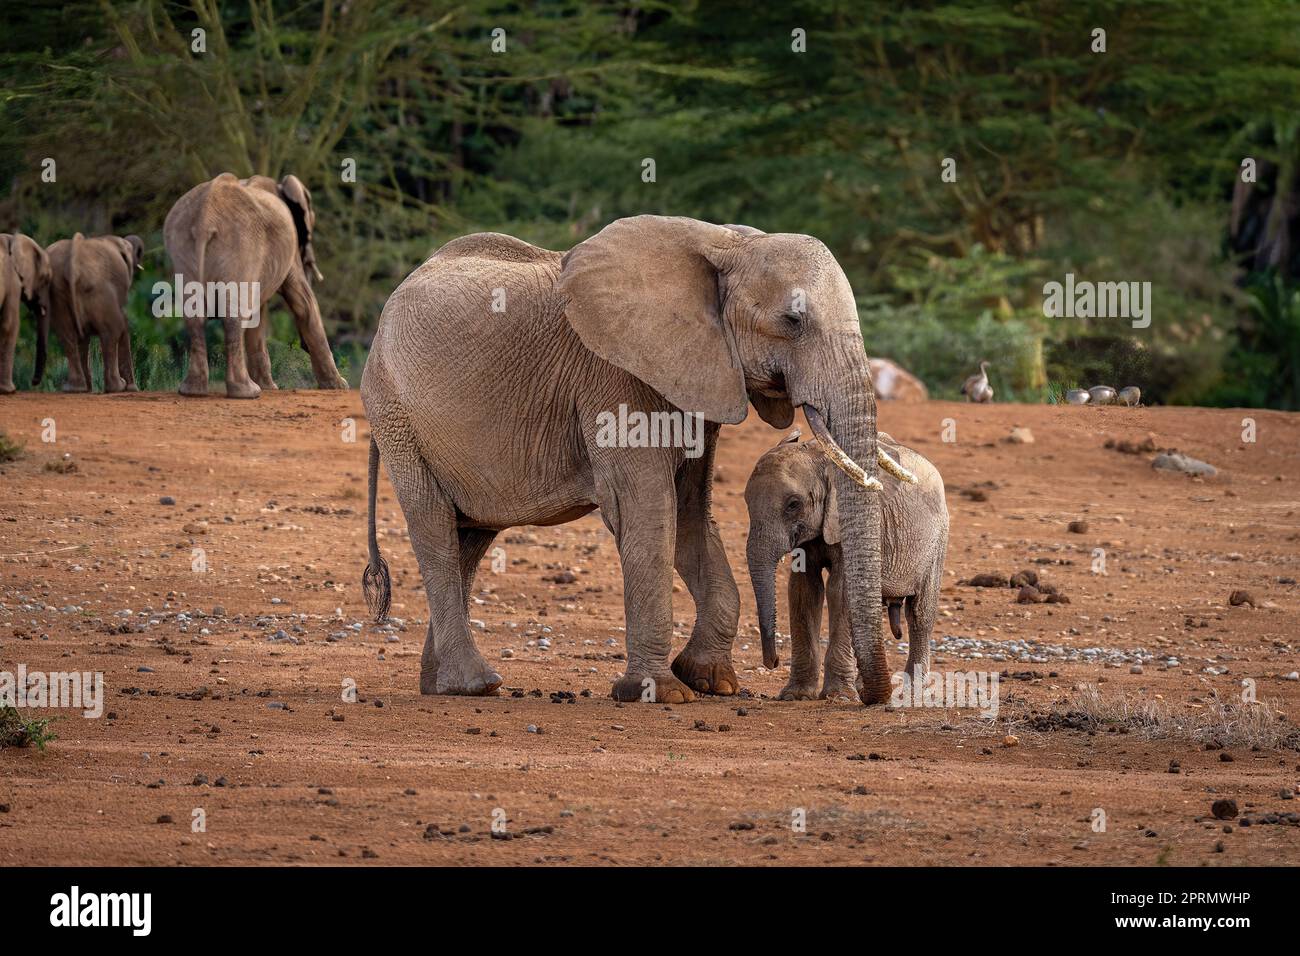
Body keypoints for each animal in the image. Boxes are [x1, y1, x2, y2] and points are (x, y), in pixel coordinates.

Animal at [0, 233, 52, 393]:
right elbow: (9, 325)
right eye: (46, 278)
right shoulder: (11, 280)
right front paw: (9, 391)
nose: (33, 382)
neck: (11, 239)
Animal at [43, 233, 144, 393]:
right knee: (112, 331)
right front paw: (132, 389)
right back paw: (116, 387)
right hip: (99, 291)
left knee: (67, 335)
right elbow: (123, 325)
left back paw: (76, 389)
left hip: (57, 293)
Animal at [163, 172, 348, 398]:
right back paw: (248, 392)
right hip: (240, 245)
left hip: (182, 247)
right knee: (234, 316)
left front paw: (270, 387)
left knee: (194, 314)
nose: (302, 346)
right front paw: (339, 386)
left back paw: (193, 391)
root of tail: (205, 218)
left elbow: (258, 315)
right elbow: (303, 302)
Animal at [361, 215, 917, 704]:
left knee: (471, 538)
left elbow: (691, 514)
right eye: (793, 320)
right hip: (395, 414)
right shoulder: (614, 378)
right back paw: (474, 685)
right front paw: (659, 693)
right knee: (435, 530)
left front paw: (711, 681)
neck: (727, 244)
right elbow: (650, 510)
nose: (874, 699)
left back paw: (443, 685)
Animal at [744, 429, 948, 702]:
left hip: (937, 539)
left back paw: (911, 688)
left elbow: (839, 590)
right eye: (746, 502)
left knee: (919, 613)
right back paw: (864, 687)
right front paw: (796, 696)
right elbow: (803, 590)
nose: (773, 662)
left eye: (793, 504)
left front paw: (838, 696)